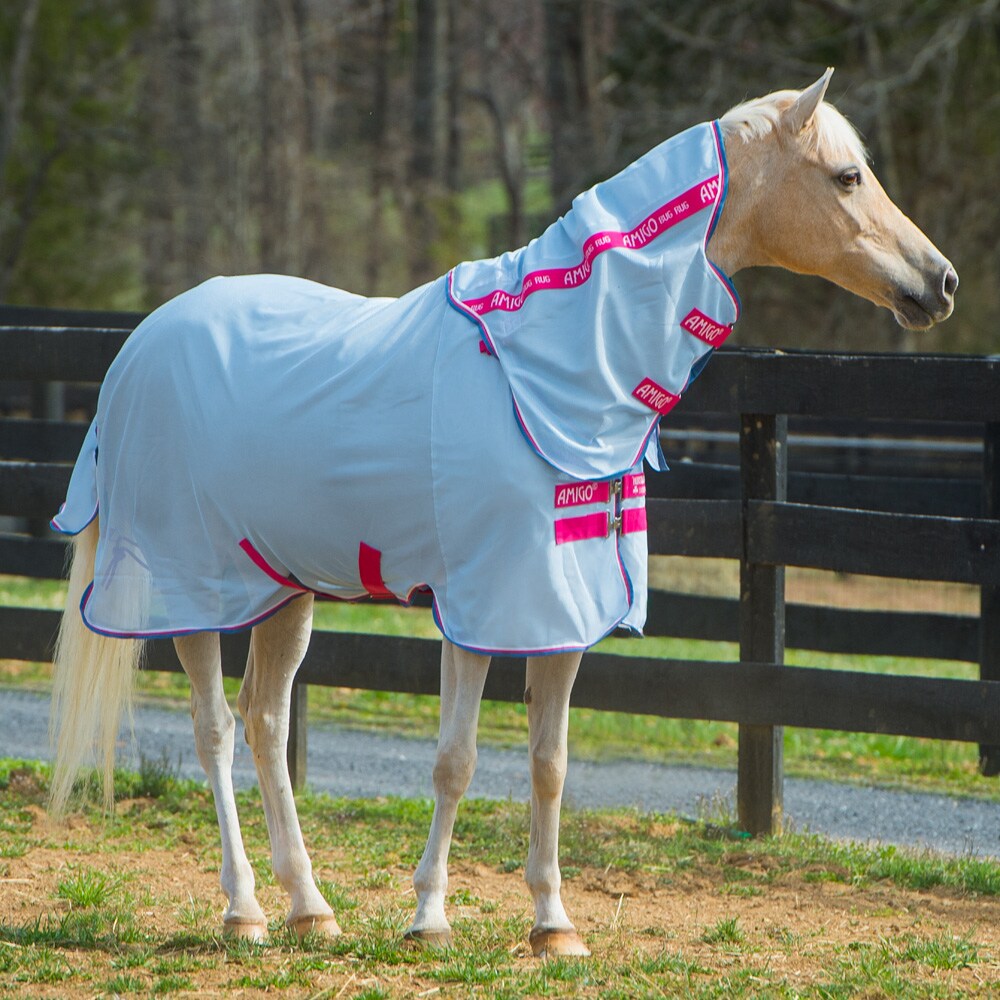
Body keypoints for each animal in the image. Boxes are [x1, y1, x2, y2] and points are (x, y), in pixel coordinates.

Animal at [48, 69, 957, 957]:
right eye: (847, 176)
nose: (940, 281)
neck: (547, 371)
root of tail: (139, 348)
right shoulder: (480, 608)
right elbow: (457, 759)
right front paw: (430, 917)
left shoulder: (559, 611)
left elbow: (549, 762)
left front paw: (554, 924)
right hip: (187, 589)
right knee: (214, 730)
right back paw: (244, 912)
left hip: (282, 587)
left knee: (267, 723)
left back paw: (310, 909)